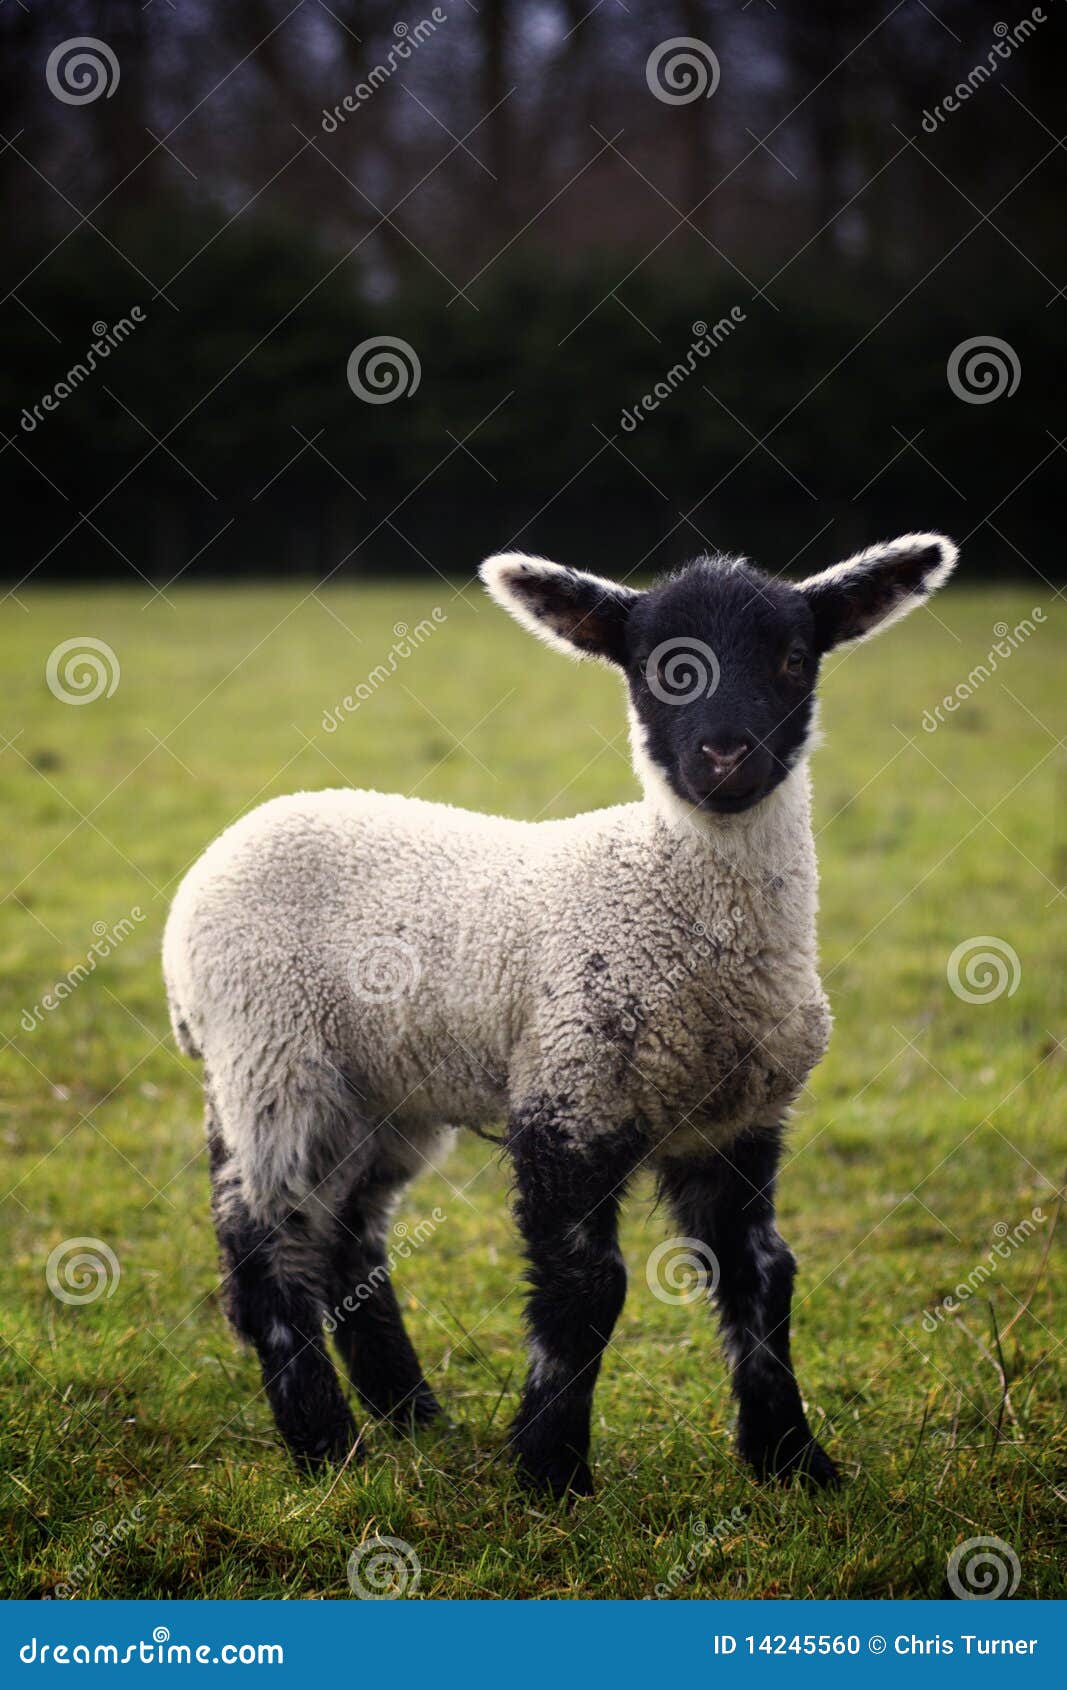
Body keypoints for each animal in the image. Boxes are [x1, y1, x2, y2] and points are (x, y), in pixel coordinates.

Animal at [163, 530, 958, 1495]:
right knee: (267, 1249)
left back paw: (413, 1418)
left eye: (794, 658)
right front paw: (551, 1471)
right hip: (270, 1053)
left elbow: (762, 1276)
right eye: (658, 669)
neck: (662, 888)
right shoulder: (570, 1090)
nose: (725, 757)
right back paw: (327, 1449)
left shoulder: (740, 1118)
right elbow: (586, 1289)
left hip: (383, 1087)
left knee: (346, 1238)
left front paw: (794, 1462)